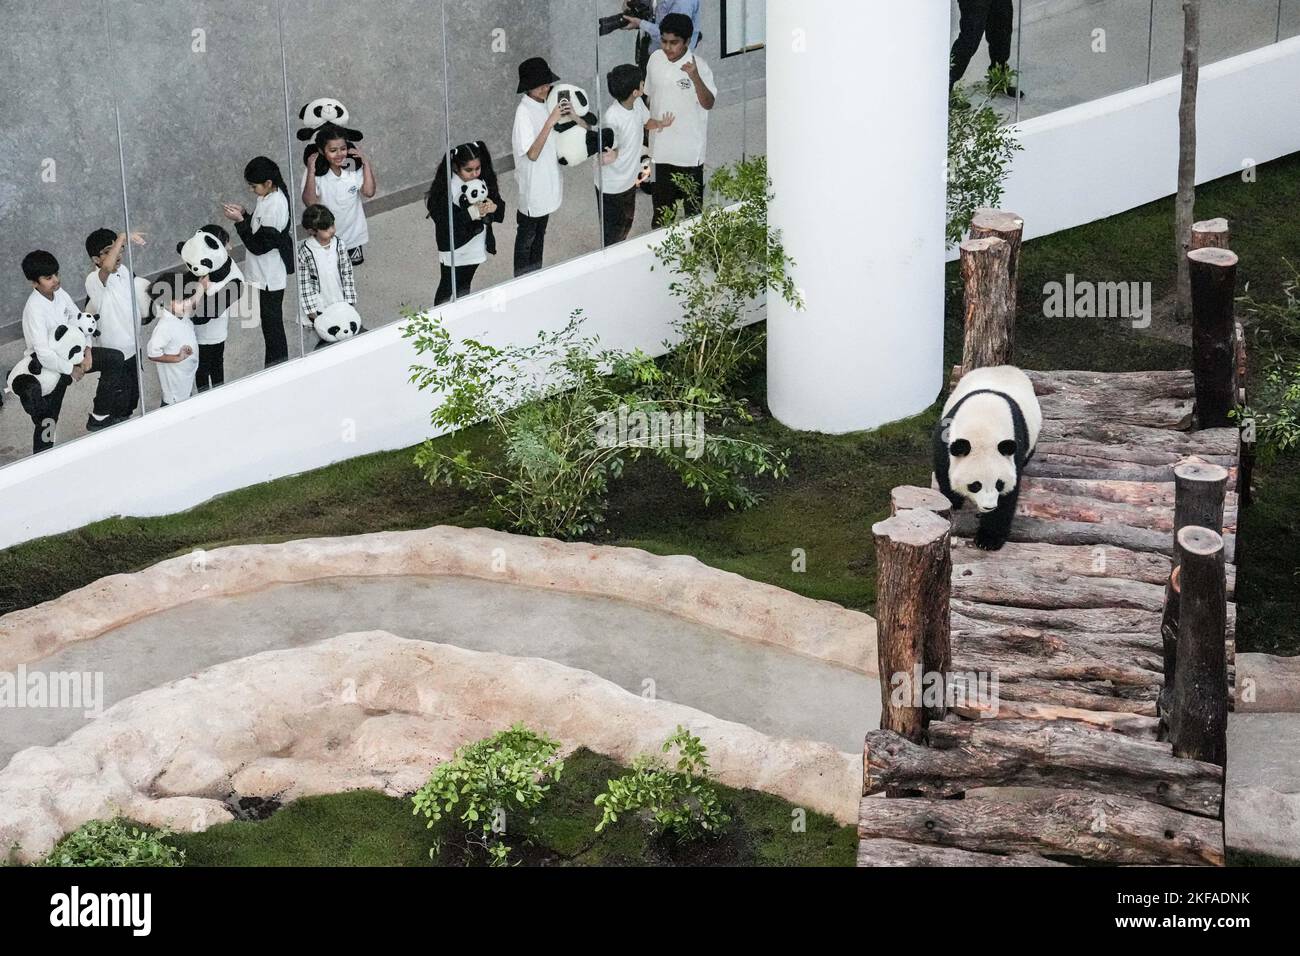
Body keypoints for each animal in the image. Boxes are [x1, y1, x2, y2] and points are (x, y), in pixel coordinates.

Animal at [934, 365, 1043, 552]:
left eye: (999, 484)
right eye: (975, 485)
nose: (989, 506)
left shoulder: (1014, 447)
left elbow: (1008, 497)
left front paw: (988, 540)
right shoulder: (945, 436)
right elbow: (943, 470)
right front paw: (953, 500)